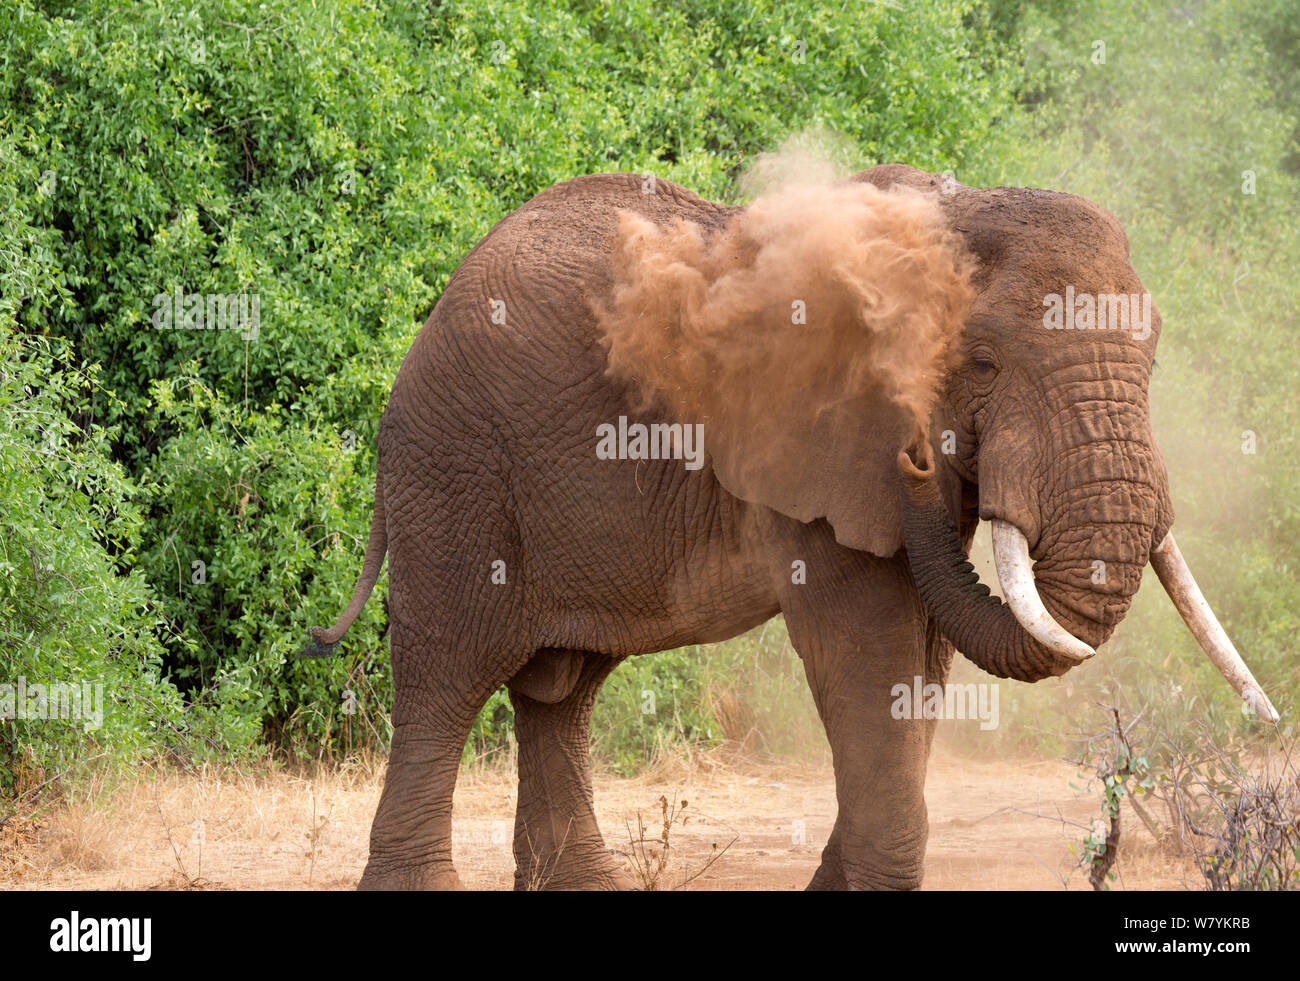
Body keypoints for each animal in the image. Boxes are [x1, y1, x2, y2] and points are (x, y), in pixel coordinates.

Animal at [308, 163, 1277, 890]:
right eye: (983, 361)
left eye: (1155, 356)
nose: (921, 457)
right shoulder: (820, 455)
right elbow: (867, 654)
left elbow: (921, 668)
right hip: (455, 469)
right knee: (446, 677)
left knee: (561, 691)